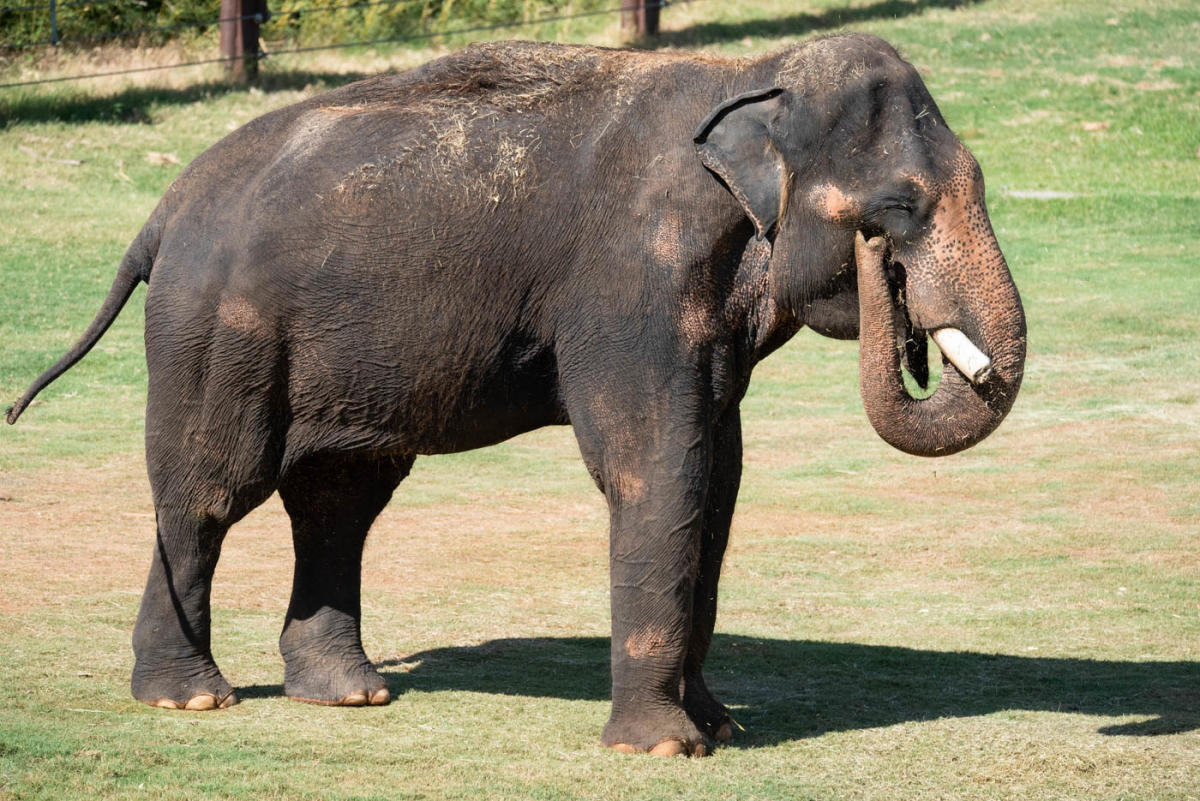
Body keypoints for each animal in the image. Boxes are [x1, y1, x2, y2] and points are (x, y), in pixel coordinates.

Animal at [7, 34, 1025, 757]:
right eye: (897, 210)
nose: (893, 292)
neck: (749, 76)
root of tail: (164, 210)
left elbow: (719, 480)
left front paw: (721, 727)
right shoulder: (630, 283)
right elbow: (658, 468)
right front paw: (663, 750)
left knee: (339, 501)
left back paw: (352, 691)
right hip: (217, 330)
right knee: (210, 492)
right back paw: (192, 698)